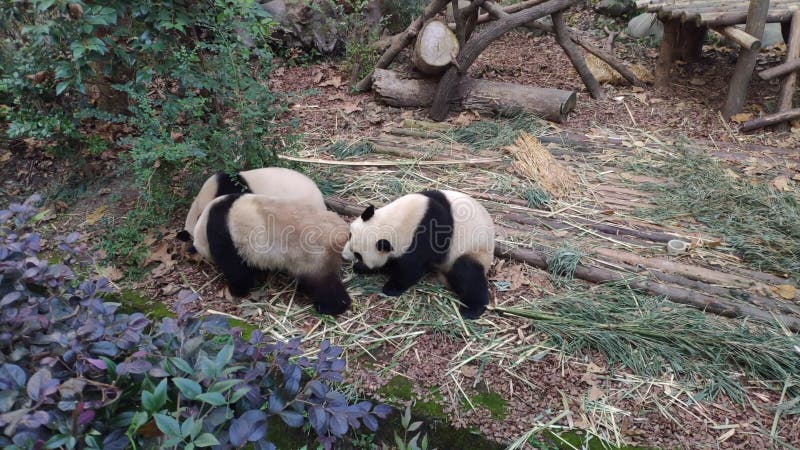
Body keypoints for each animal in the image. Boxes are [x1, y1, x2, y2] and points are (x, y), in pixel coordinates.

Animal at [192, 193, 351, 316]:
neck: (205, 220)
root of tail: (340, 233)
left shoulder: (224, 235)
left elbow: (237, 270)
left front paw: (235, 290)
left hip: (313, 255)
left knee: (323, 284)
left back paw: (332, 307)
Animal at [342, 190, 494, 319]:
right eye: (350, 235)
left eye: (358, 254)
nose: (344, 255)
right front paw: (361, 268)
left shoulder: (430, 235)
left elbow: (412, 267)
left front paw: (391, 287)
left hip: (475, 250)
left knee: (468, 272)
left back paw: (472, 310)